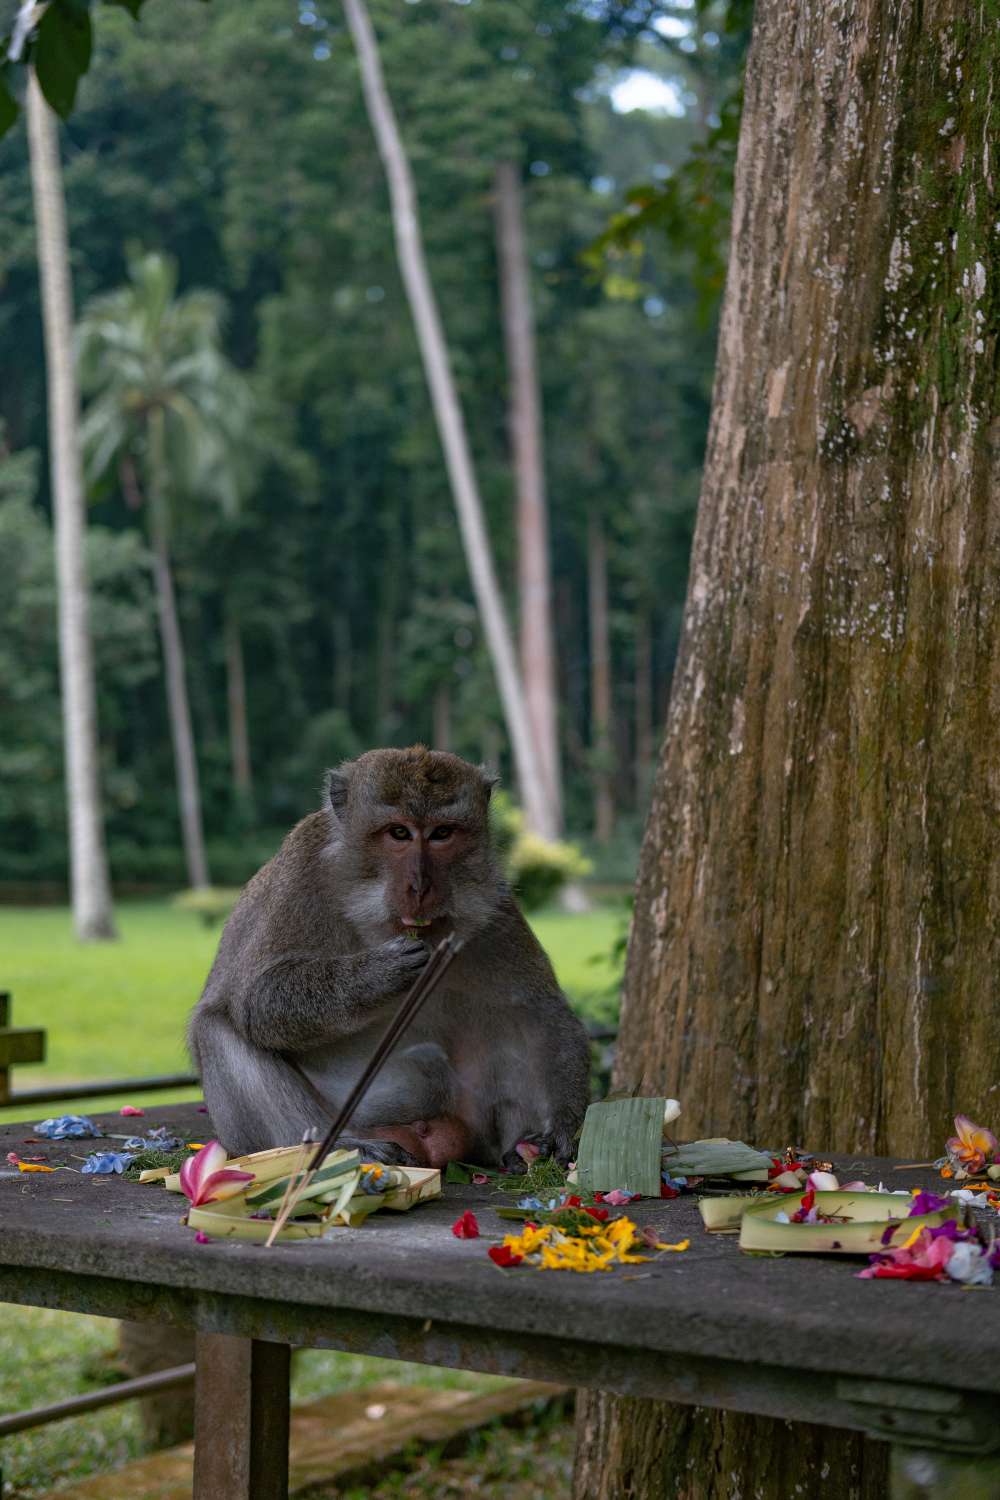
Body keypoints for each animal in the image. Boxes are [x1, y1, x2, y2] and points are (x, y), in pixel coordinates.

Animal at [188, 747, 591, 1169]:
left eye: (441, 833)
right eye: (398, 833)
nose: (420, 886)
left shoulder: (494, 903)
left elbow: (538, 1011)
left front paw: (560, 1129)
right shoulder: (302, 874)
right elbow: (257, 1001)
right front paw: (379, 974)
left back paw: (517, 1153)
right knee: (217, 1027)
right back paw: (342, 1147)